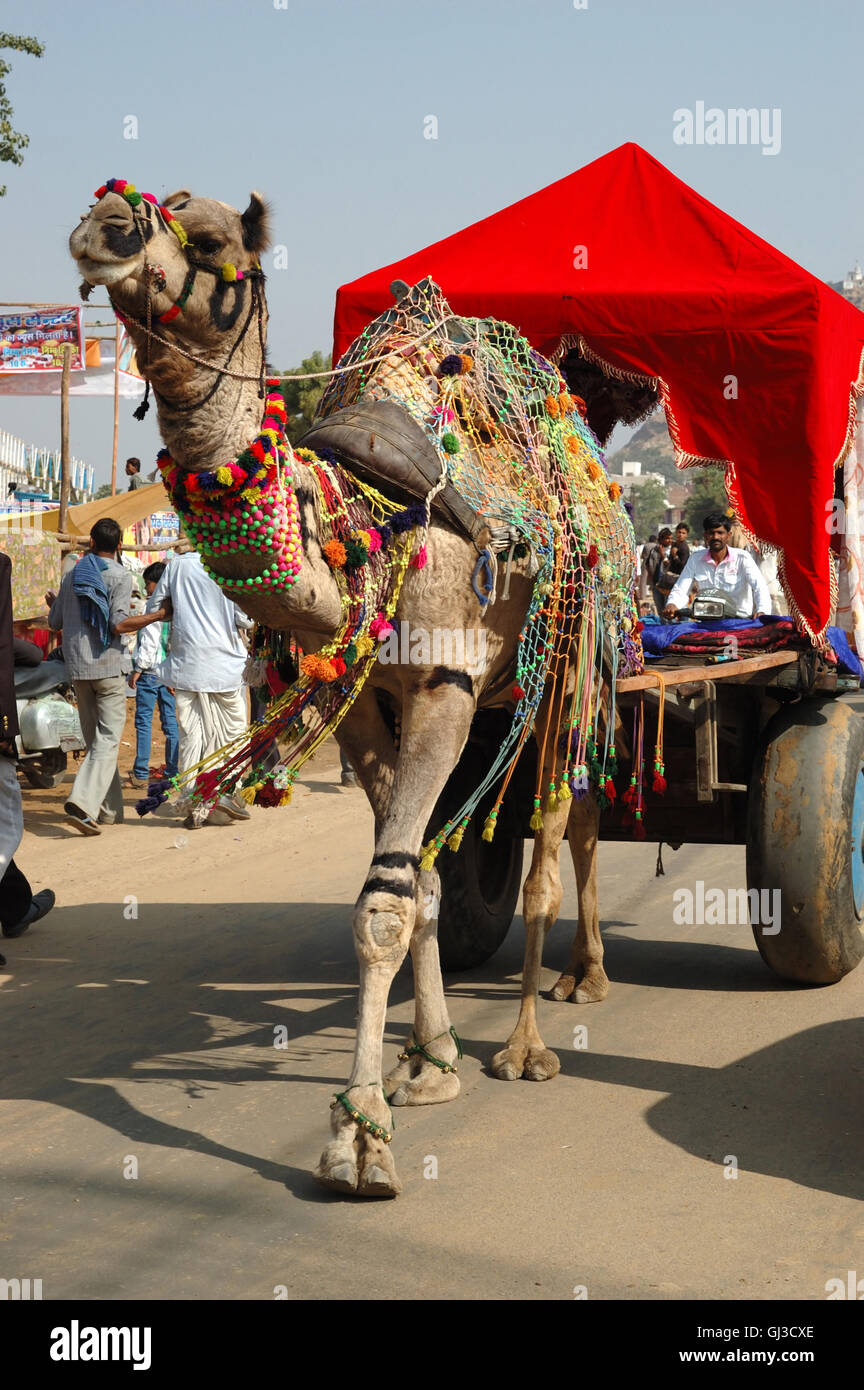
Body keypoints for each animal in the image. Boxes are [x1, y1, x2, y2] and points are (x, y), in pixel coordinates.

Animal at [69, 182, 643, 1198]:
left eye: (209, 238)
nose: (104, 231)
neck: (362, 520)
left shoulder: (447, 681)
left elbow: (382, 904)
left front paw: (360, 1138)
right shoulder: (371, 705)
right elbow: (415, 883)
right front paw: (430, 1064)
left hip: (569, 662)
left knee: (560, 827)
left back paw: (539, 1033)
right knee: (555, 827)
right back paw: (567, 989)